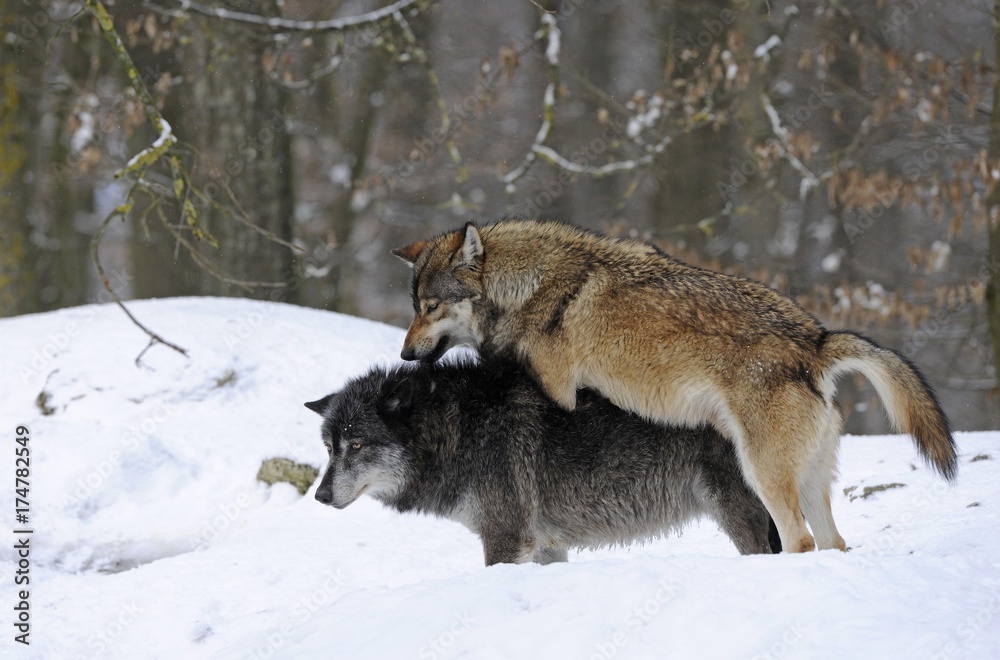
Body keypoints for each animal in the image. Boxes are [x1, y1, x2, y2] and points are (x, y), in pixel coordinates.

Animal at [306, 357, 782, 566]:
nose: (320, 495)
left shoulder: (506, 537)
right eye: (330, 448)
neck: (459, 428)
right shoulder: (546, 544)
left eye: (357, 446)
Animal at [391, 219, 957, 553]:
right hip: (809, 483)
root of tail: (816, 342)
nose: (404, 354)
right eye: (414, 307)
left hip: (764, 476)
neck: (528, 290)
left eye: (431, 308)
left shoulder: (560, 391)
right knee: (833, 543)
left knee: (799, 542)